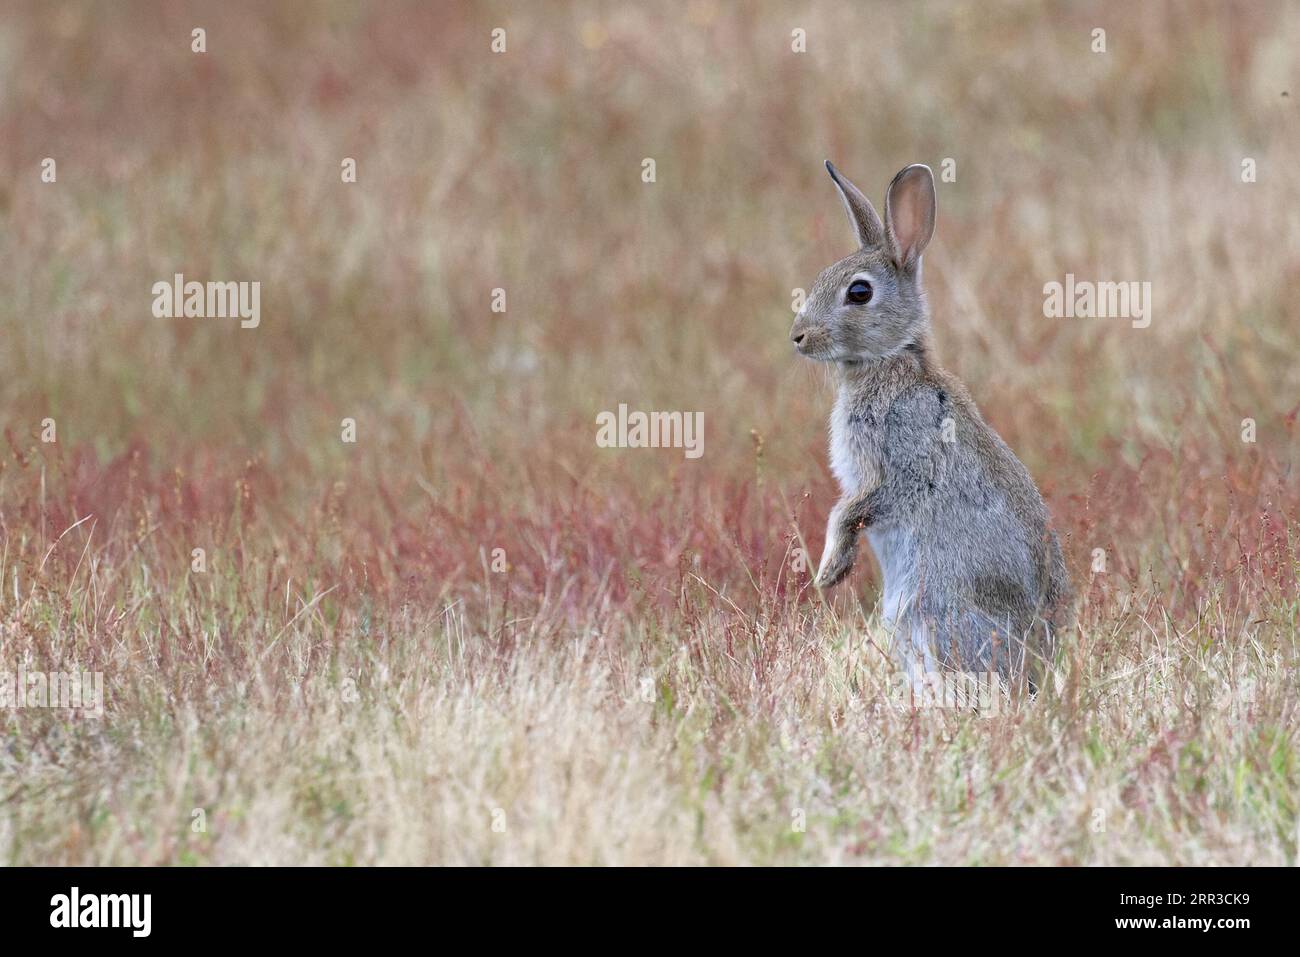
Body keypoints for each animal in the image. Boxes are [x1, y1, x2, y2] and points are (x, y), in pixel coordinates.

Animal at [790, 160, 1070, 684]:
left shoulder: (903, 465)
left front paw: (830, 572)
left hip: (929, 609)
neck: (889, 358)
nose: (797, 336)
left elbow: (851, 511)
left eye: (859, 292)